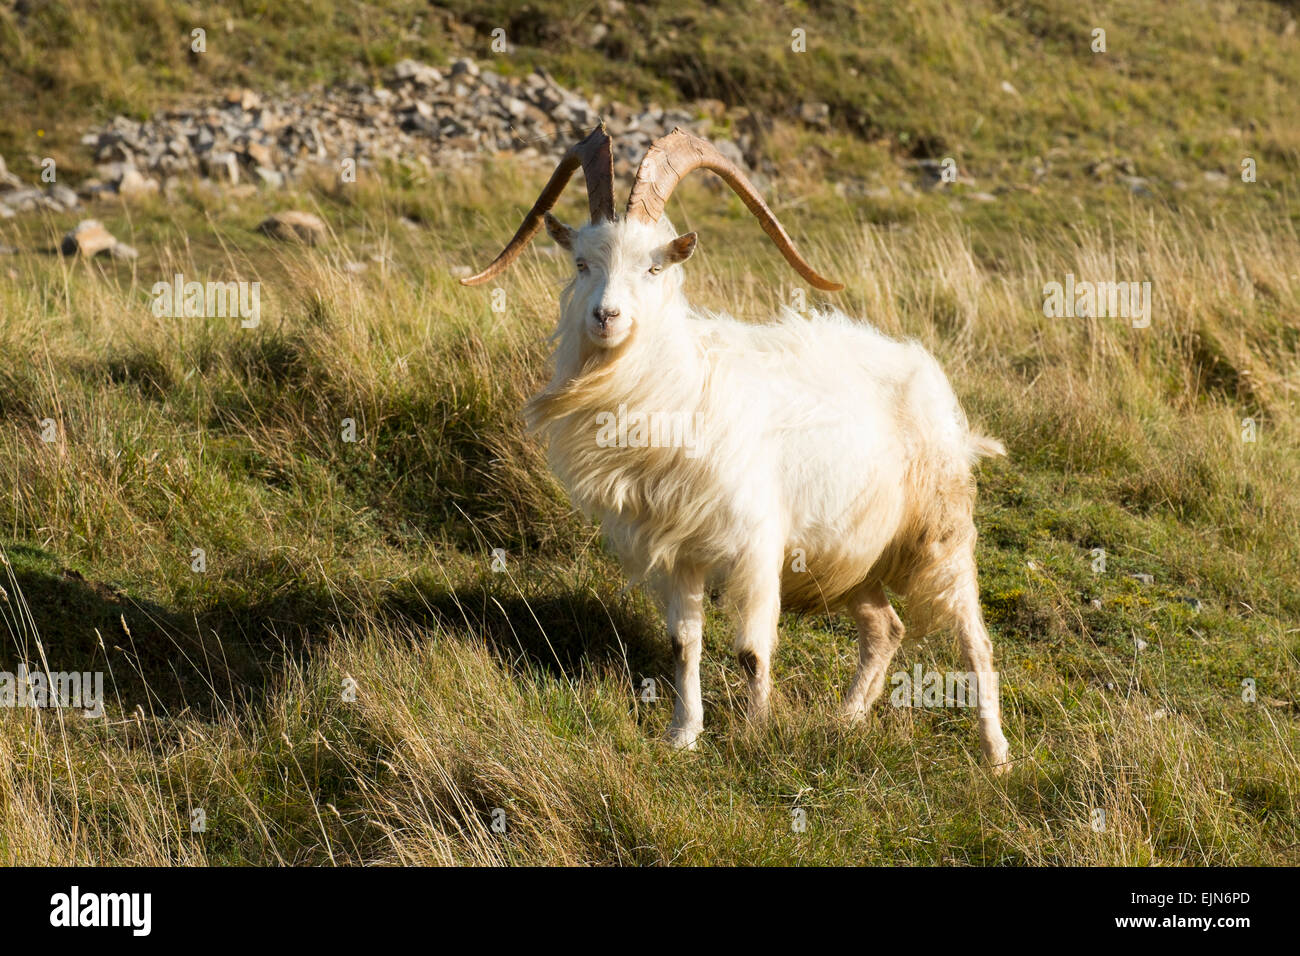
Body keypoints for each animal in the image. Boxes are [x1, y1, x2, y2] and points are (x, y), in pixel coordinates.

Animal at [461, 126, 1010, 771]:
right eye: (581, 262)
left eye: (653, 267)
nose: (605, 316)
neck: (685, 386)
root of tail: (924, 367)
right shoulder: (678, 549)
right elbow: (683, 642)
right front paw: (683, 733)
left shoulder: (757, 543)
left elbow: (752, 649)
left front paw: (755, 733)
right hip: (851, 552)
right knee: (886, 629)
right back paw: (846, 721)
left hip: (940, 526)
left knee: (973, 634)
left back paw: (996, 752)